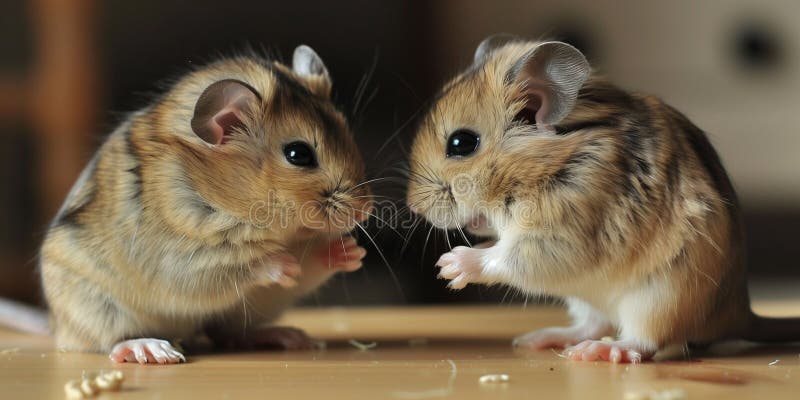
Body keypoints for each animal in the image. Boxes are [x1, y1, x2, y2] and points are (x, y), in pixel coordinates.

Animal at [25, 45, 373, 364]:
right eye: (298, 154)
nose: (365, 210)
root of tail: (55, 325)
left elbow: (308, 264)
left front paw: (351, 253)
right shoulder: (183, 259)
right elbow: (241, 266)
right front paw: (284, 264)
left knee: (225, 333)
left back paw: (284, 335)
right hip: (95, 305)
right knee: (110, 341)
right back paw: (150, 349)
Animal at [406, 35, 800, 363]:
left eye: (461, 143)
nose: (414, 207)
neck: (548, 165)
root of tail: (738, 314)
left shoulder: (564, 231)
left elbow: (508, 258)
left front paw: (451, 265)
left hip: (660, 298)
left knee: (646, 341)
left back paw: (600, 351)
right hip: (586, 300)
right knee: (593, 323)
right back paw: (541, 338)